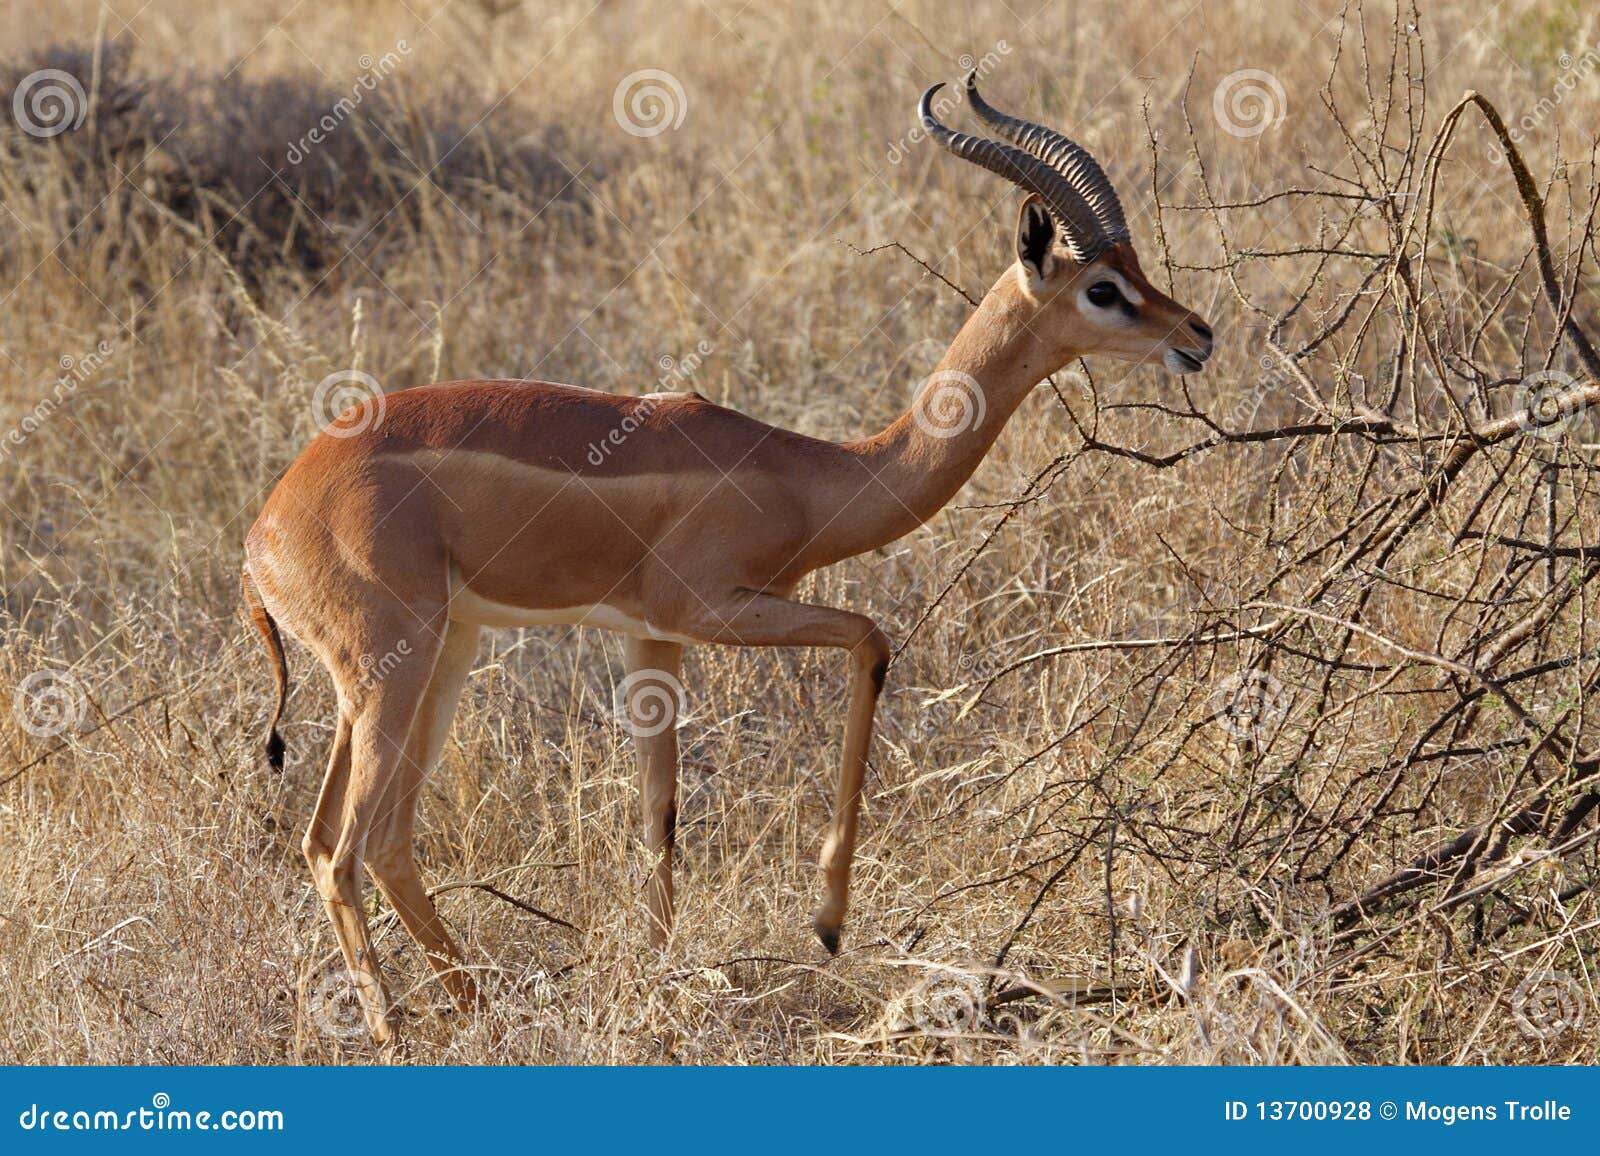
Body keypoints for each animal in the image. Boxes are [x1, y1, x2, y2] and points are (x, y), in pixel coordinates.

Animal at [241, 73, 1214, 1041]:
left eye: (1135, 268)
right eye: (1102, 288)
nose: (1198, 333)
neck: (810, 476)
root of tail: (266, 530)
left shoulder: (651, 638)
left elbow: (659, 813)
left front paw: (662, 980)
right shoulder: (710, 609)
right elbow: (871, 639)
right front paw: (826, 923)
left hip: (437, 655)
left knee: (368, 840)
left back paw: (479, 1013)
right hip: (392, 665)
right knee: (345, 845)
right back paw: (398, 1035)